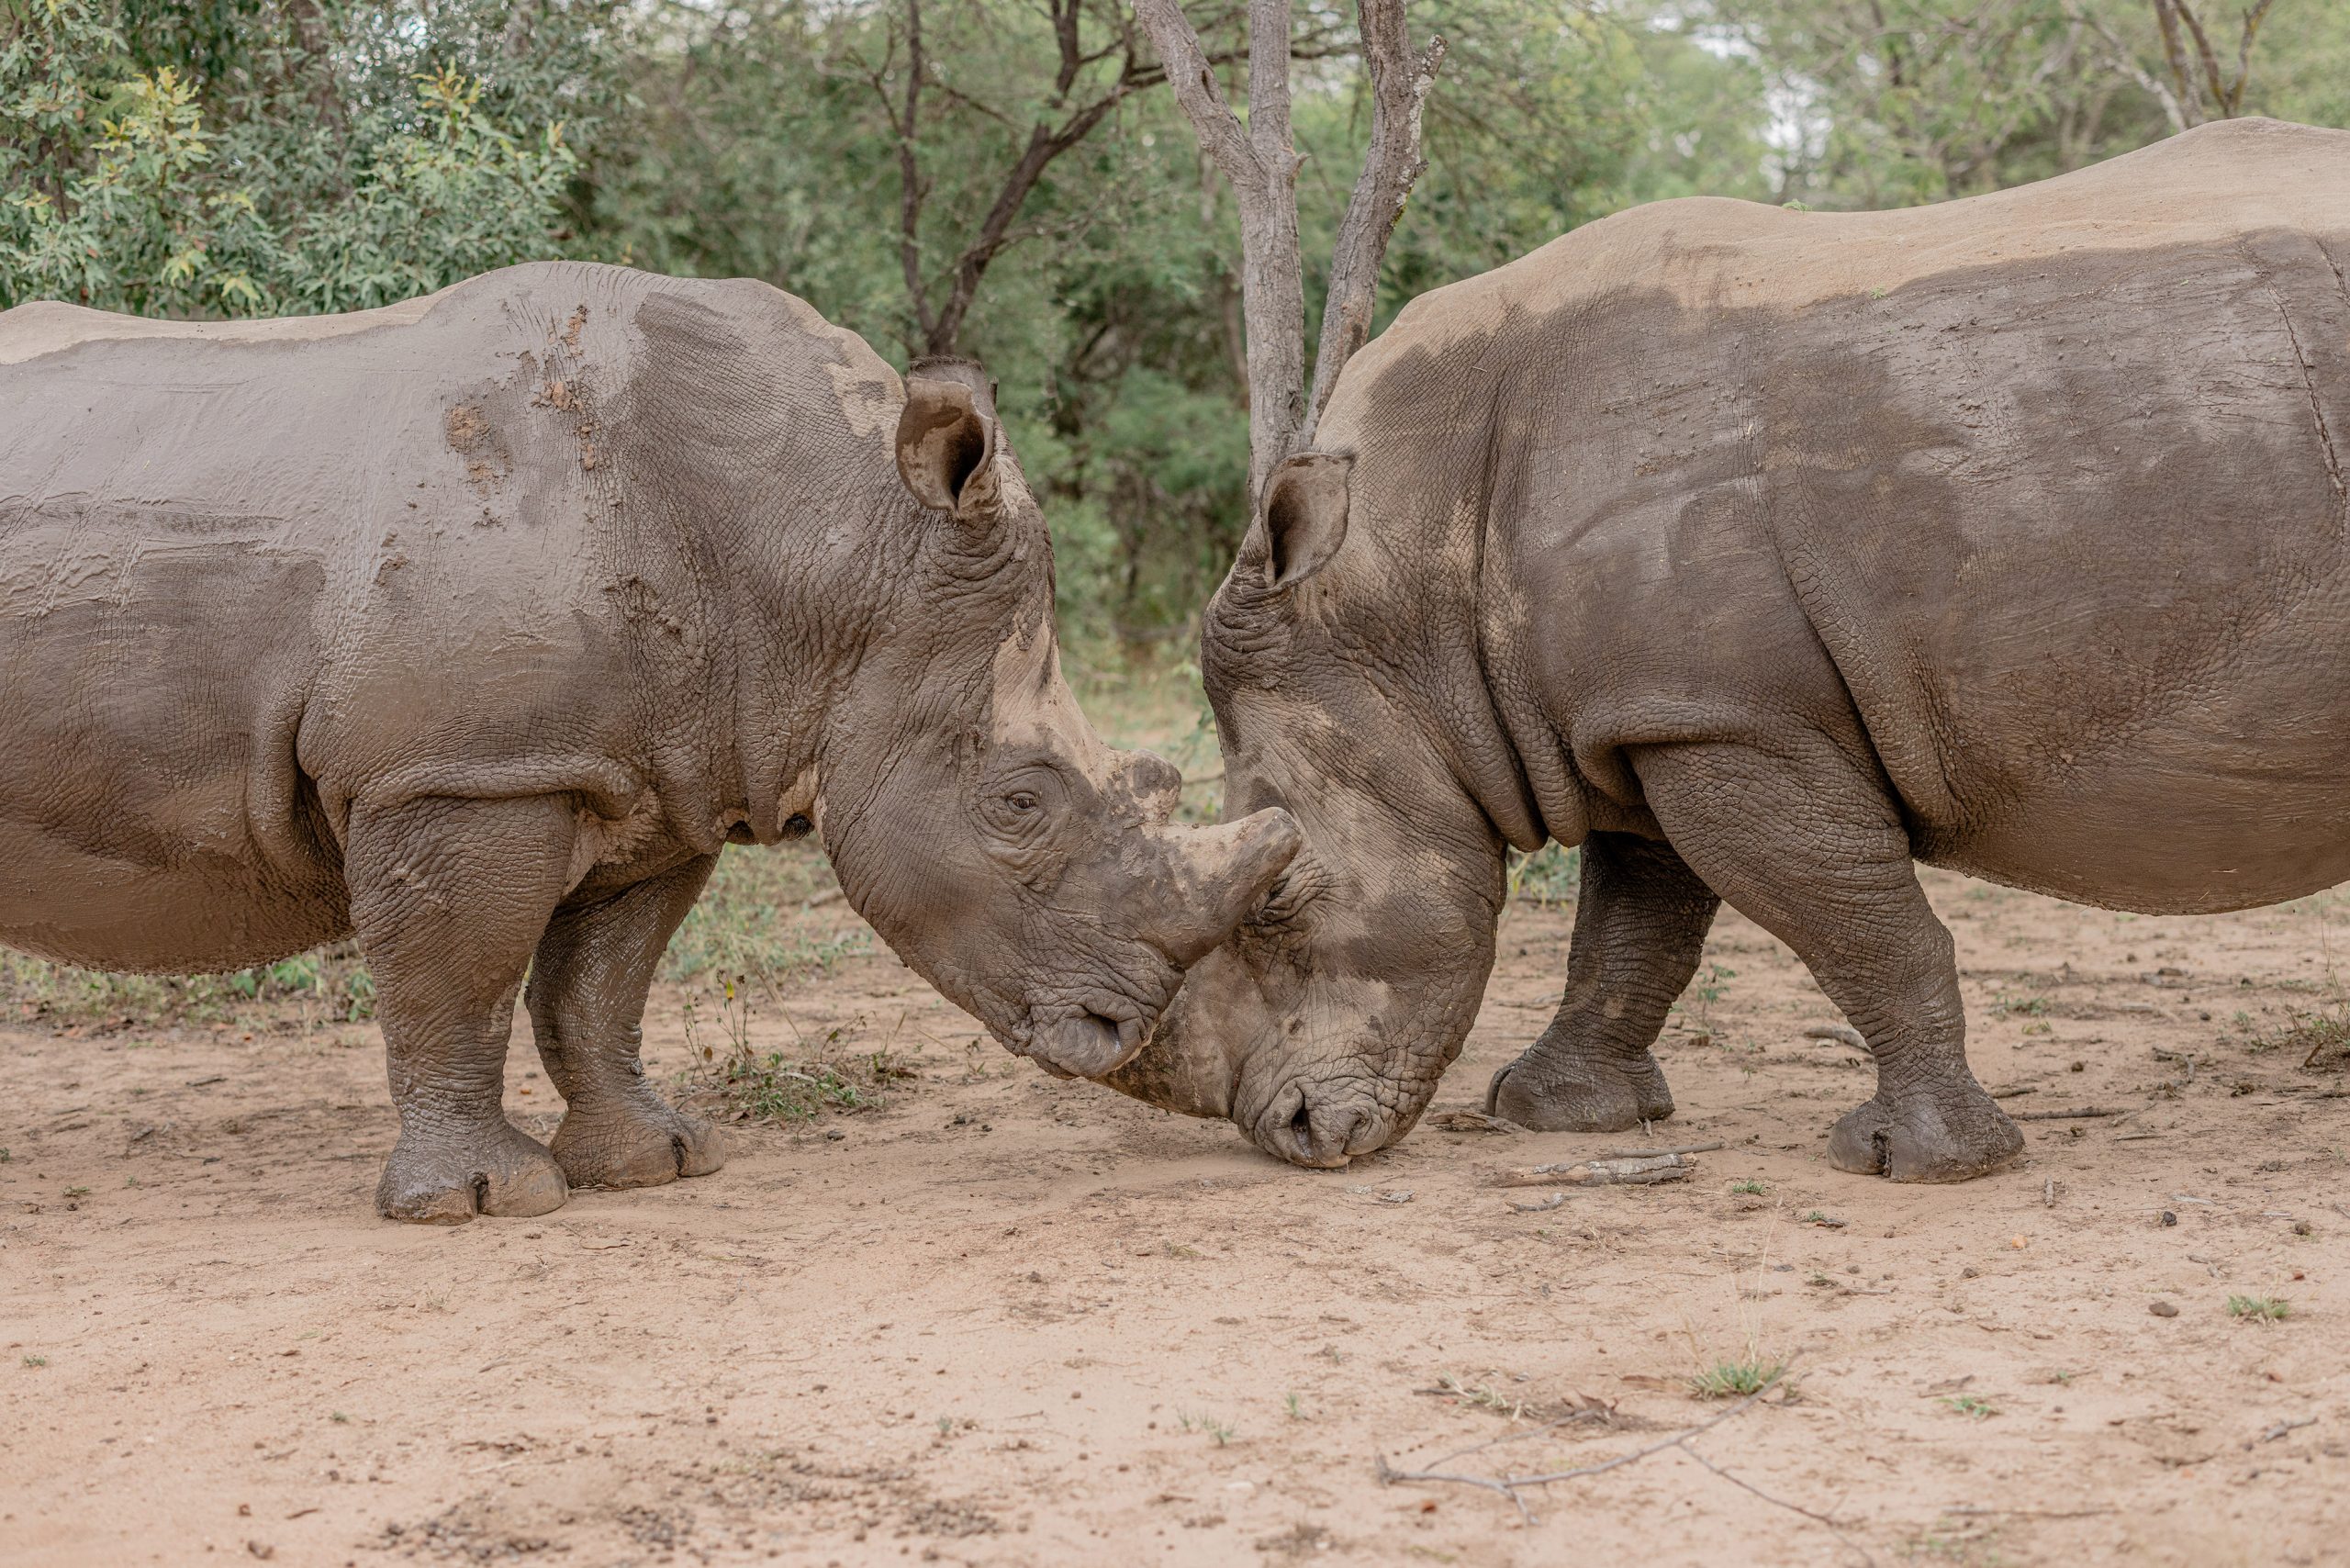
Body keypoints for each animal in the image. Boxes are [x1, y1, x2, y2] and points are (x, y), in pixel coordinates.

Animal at [0, 261, 1300, 1221]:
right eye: (1020, 802)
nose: (1122, 1028)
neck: (827, 548)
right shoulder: (462, 771)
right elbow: (458, 978)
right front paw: (483, 1202)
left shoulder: (662, 774)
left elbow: (600, 984)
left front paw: (658, 1163)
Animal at [1105, 118, 2350, 1181]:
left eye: (1278, 901)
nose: (1293, 1134)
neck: (1398, 586)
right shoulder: (1645, 715)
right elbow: (1631, 933)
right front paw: (1554, 1115)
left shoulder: (1728, 718)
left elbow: (1859, 925)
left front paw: (1920, 1164)